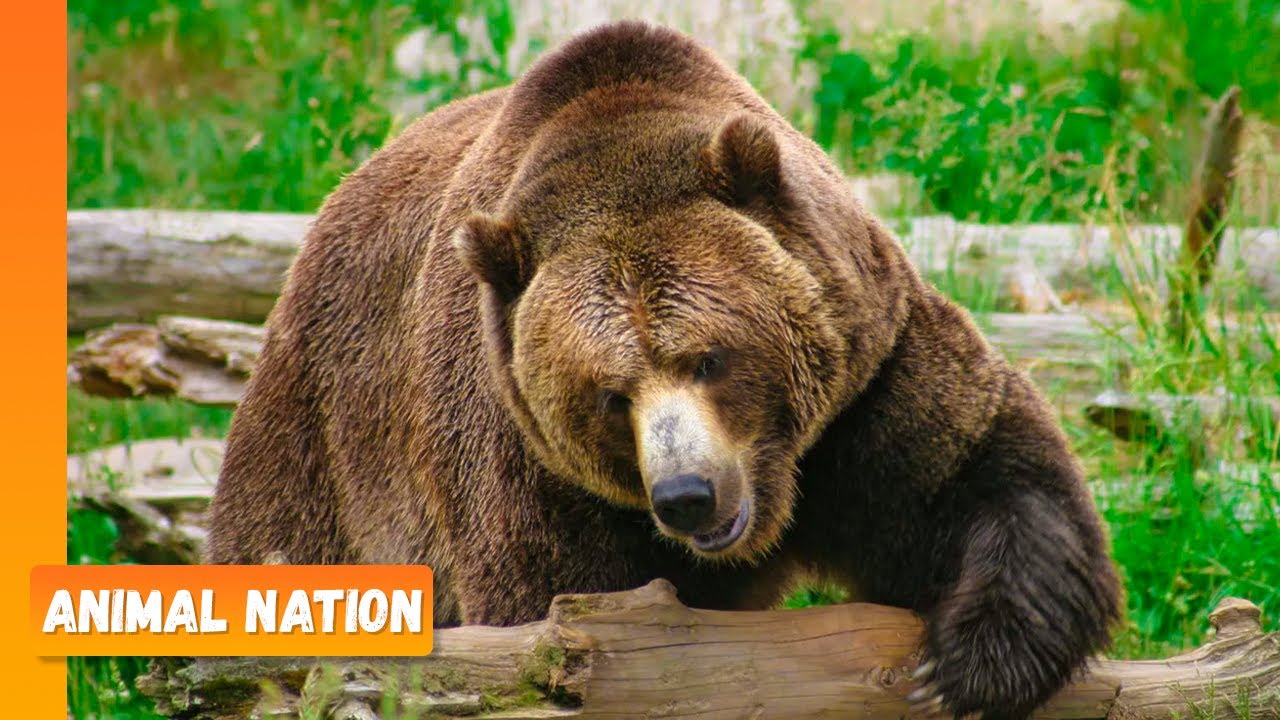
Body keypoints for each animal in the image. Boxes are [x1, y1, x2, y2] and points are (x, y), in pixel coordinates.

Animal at [207, 21, 1121, 719]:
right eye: (611, 396)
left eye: (710, 357)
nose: (688, 495)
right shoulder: (530, 466)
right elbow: (556, 611)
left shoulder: (862, 381)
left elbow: (982, 476)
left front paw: (962, 666)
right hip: (323, 443)